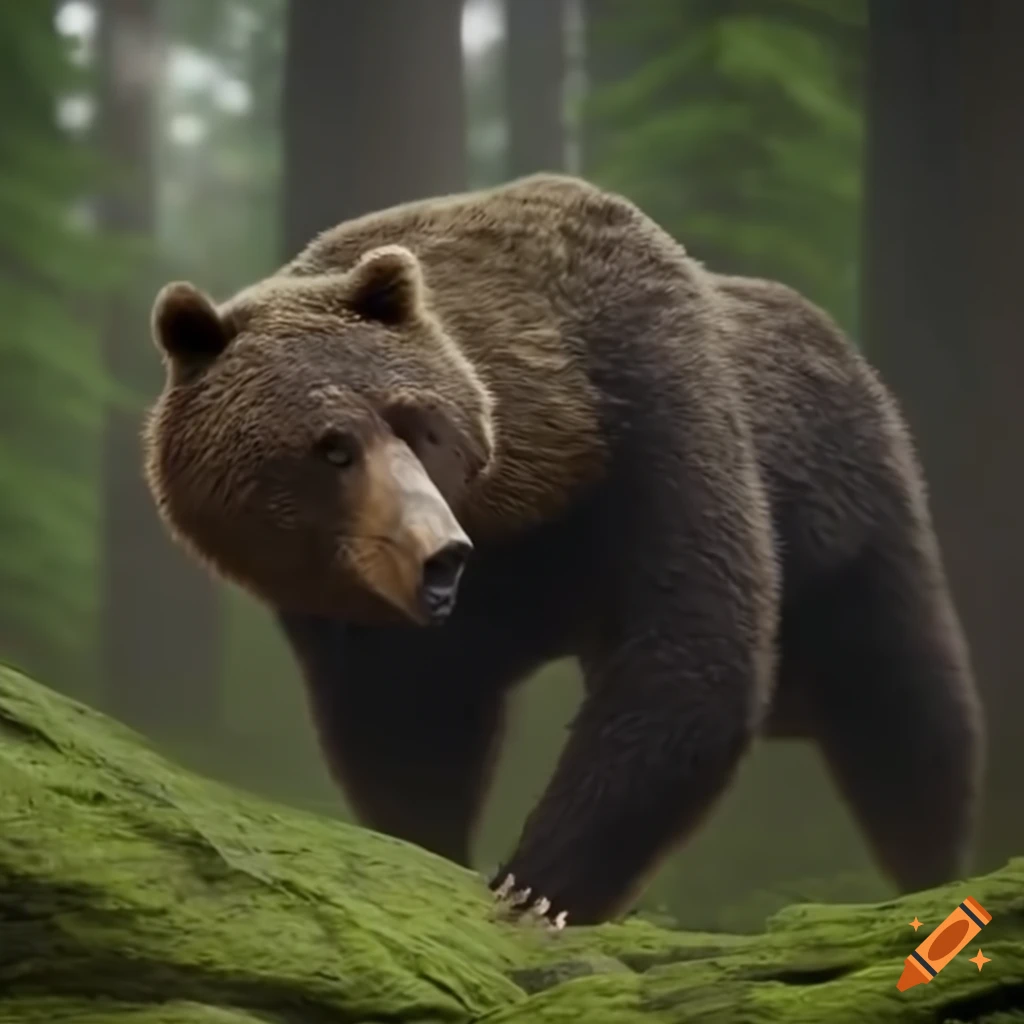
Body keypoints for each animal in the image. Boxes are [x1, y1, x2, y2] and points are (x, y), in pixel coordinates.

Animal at [143, 173, 984, 927]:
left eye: (418, 424)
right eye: (332, 448)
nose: (439, 553)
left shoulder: (653, 425)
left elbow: (689, 650)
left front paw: (533, 884)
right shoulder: (376, 620)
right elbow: (404, 728)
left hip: (849, 514)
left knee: (906, 709)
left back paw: (930, 870)